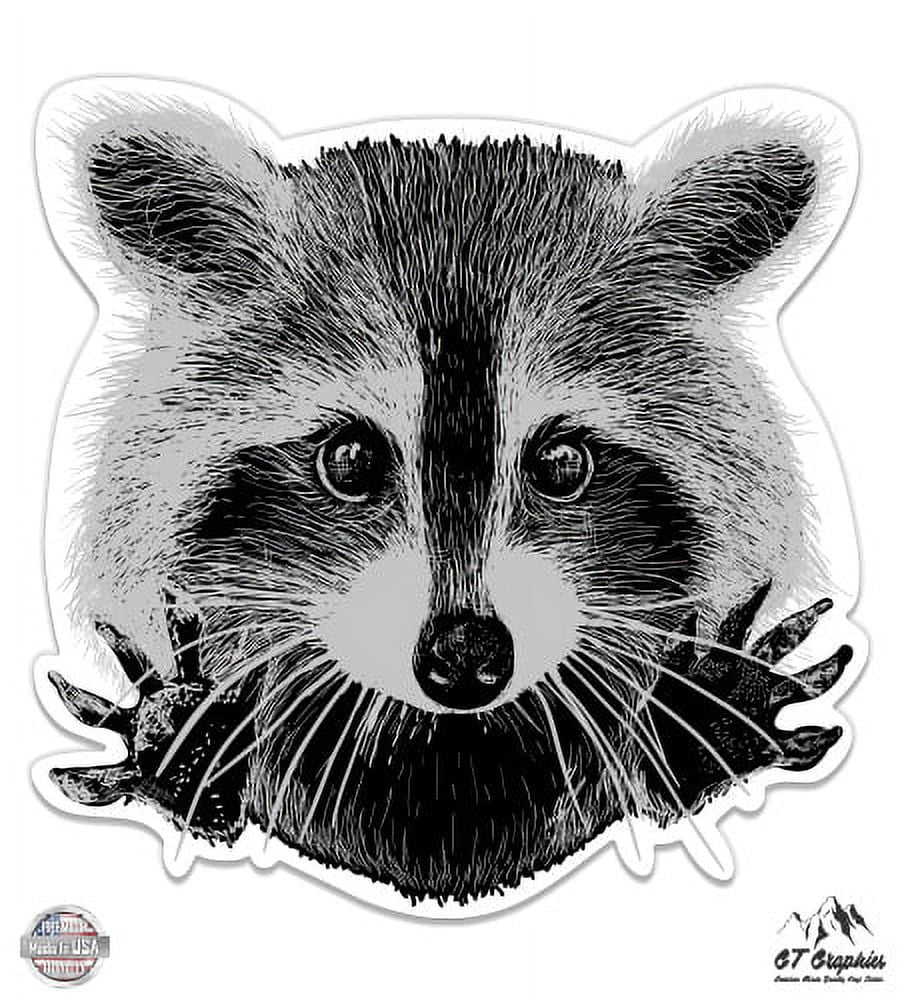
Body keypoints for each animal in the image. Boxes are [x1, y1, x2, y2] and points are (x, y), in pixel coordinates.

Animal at [39, 85, 858, 906]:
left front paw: (701, 707)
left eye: (562, 463)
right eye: (349, 460)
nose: (466, 654)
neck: (449, 753)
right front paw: (186, 732)